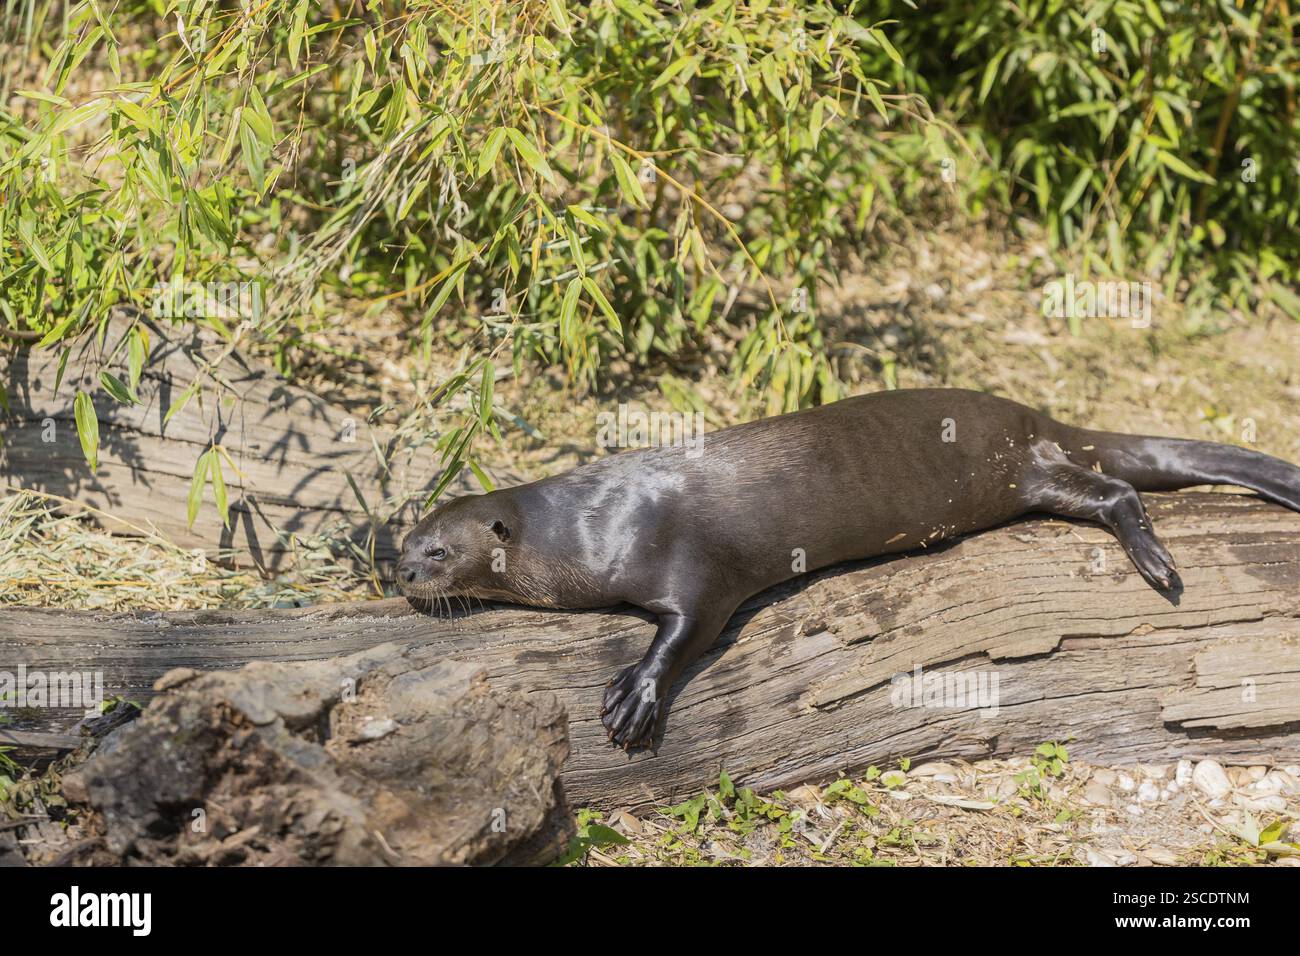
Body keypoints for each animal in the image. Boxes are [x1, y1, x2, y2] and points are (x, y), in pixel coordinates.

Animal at [397, 388, 1300, 750]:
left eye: (438, 550)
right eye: (404, 539)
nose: (403, 577)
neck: (588, 528)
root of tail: (1035, 414)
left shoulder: (697, 571)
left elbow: (689, 629)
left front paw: (635, 698)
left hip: (1021, 471)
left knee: (1114, 491)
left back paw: (1157, 564)